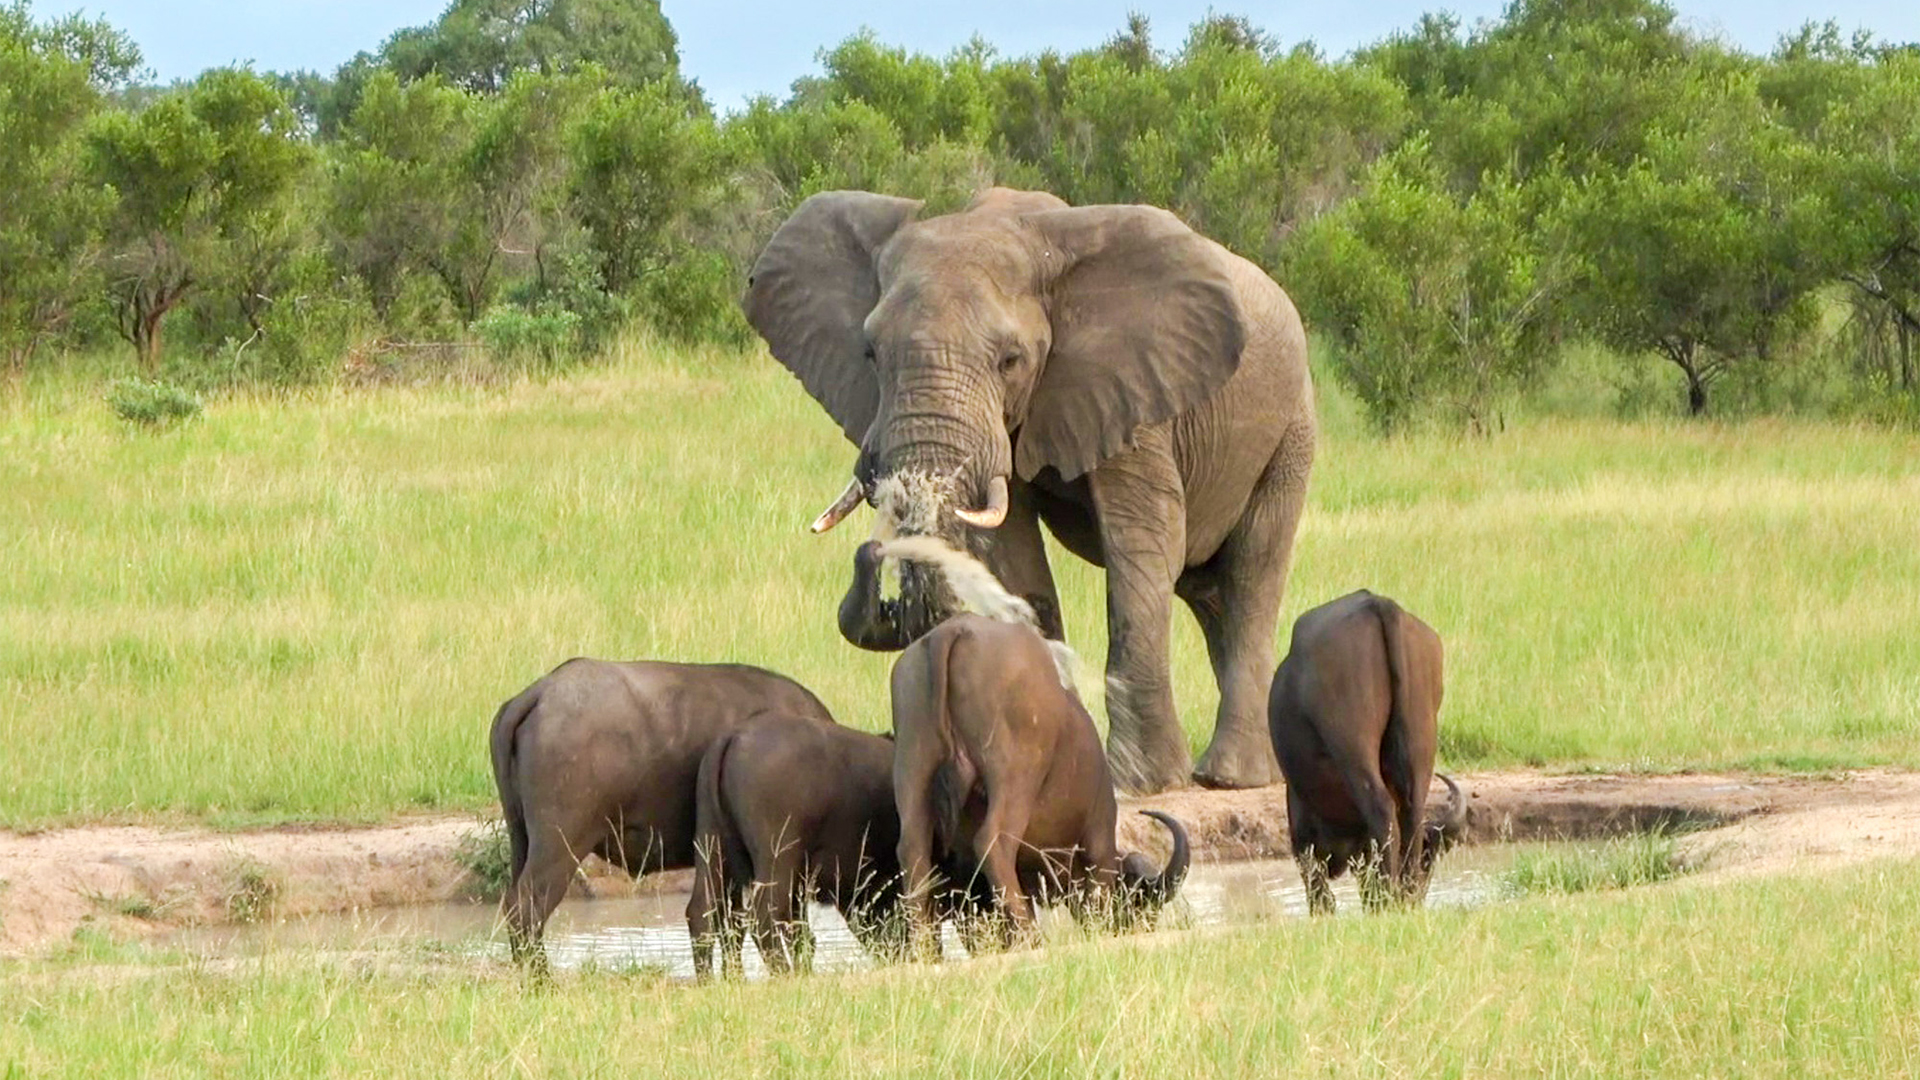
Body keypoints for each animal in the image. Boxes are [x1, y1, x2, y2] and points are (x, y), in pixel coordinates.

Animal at [744, 185, 1316, 794]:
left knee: (1252, 571)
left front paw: (1140, 783)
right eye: (871, 354)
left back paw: (1231, 777)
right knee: (1208, 593)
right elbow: (1012, 550)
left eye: (1010, 360)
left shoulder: (1137, 393)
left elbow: (1143, 542)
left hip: (1292, 431)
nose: (876, 556)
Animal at [890, 612, 1191, 954]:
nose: (1141, 927)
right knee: (993, 842)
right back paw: (1031, 936)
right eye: (1139, 902)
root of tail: (956, 629)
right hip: (1015, 775)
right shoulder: (1098, 837)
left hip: (912, 765)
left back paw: (924, 947)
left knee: (913, 850)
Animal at [1267, 591, 1468, 913]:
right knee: (1410, 817)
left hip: (1352, 747)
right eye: (1429, 861)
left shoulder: (1300, 819)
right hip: (1419, 744)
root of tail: (1380, 604)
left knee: (1381, 810)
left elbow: (1318, 887)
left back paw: (1385, 899)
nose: (1419, 896)